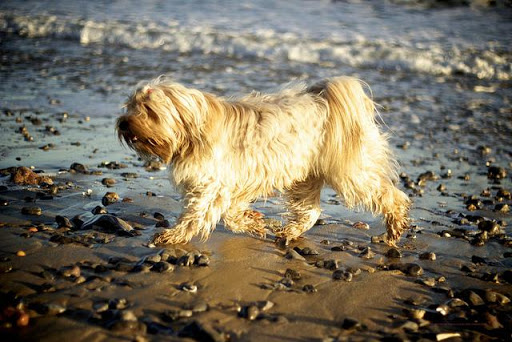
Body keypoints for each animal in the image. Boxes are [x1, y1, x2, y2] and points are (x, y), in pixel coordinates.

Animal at [118, 76, 410, 244]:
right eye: (130, 104)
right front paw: (254, 223)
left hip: (351, 170)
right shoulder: (235, 182)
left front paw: (174, 234)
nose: (122, 123)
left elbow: (197, 213)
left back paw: (394, 226)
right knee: (310, 211)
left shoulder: (212, 184)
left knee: (390, 195)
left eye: (149, 110)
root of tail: (325, 99)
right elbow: (232, 214)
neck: (194, 130)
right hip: (306, 176)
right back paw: (290, 232)